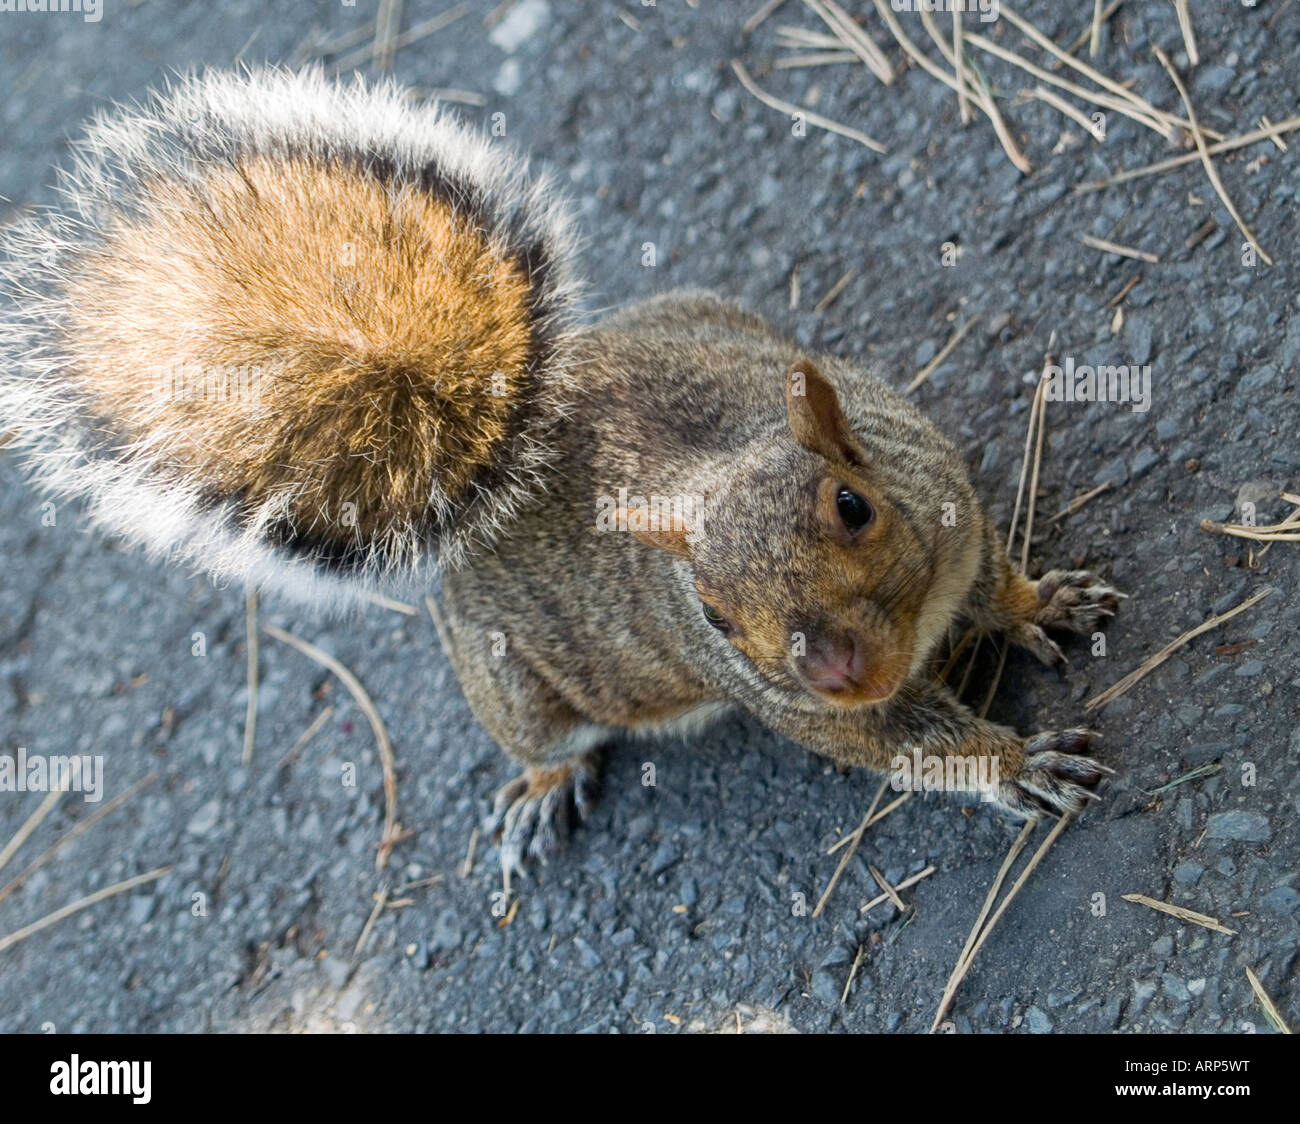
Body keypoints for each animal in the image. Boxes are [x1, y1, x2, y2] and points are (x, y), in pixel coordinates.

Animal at [0, 69, 1122, 880]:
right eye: (713, 617)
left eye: (853, 506)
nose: (836, 670)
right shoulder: (805, 709)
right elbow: (912, 747)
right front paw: (1020, 766)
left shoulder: (951, 505)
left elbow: (993, 582)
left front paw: (1042, 602)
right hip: (512, 687)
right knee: (547, 739)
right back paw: (543, 788)